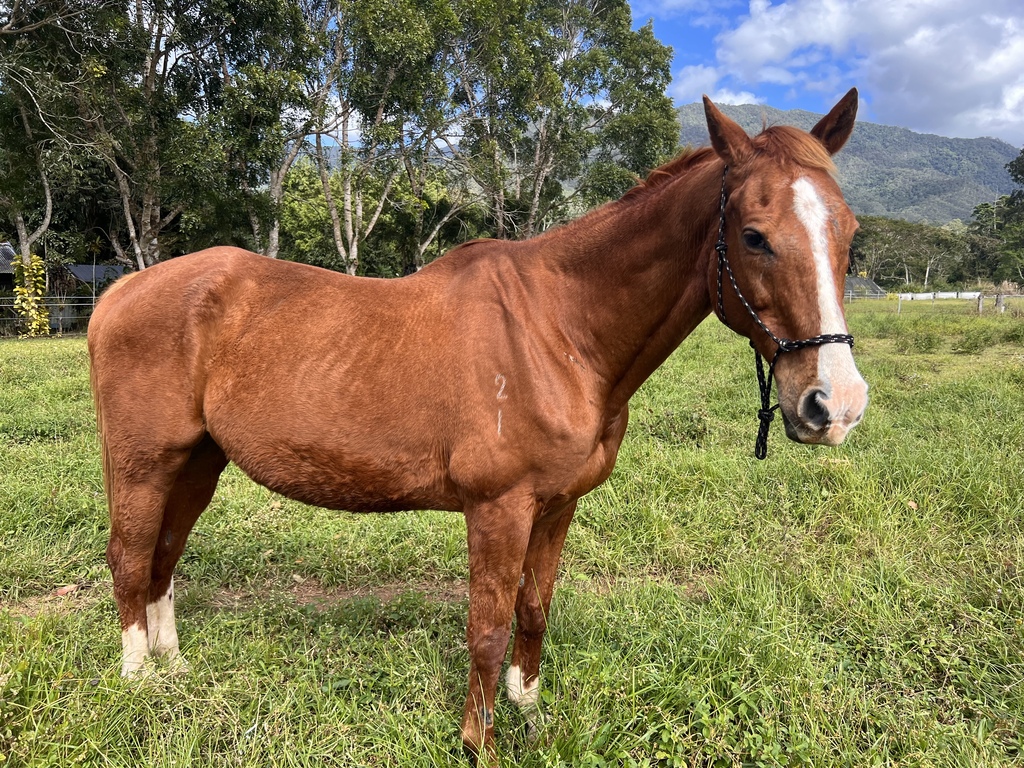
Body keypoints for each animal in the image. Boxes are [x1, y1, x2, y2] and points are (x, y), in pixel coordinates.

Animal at [87, 89, 868, 760]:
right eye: (754, 236)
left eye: (850, 237)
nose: (835, 405)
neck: (560, 328)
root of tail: (120, 290)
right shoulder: (499, 508)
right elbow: (488, 629)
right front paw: (480, 740)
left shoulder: (556, 506)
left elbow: (534, 610)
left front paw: (527, 708)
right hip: (144, 461)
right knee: (130, 556)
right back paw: (138, 678)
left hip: (198, 460)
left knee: (163, 557)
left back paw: (173, 666)